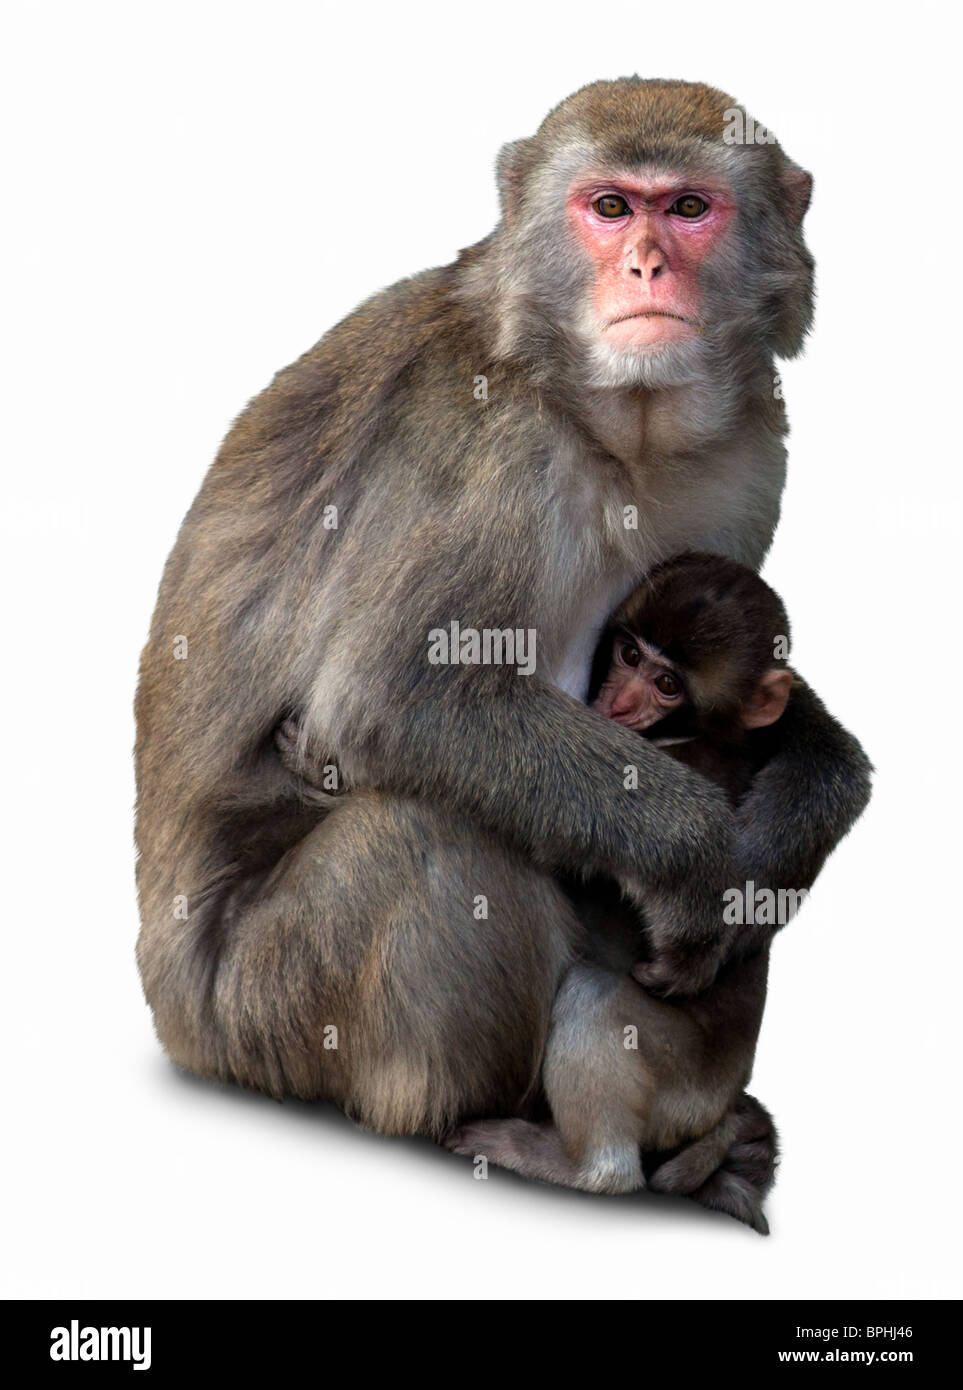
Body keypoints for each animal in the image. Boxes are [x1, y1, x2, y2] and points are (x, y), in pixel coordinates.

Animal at [135, 78, 872, 1209]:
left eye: (687, 208)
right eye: (609, 207)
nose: (646, 266)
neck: (608, 416)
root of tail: (175, 1018)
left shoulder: (750, 456)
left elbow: (766, 672)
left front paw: (786, 836)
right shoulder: (488, 454)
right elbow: (388, 700)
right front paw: (698, 859)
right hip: (261, 1015)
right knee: (431, 833)